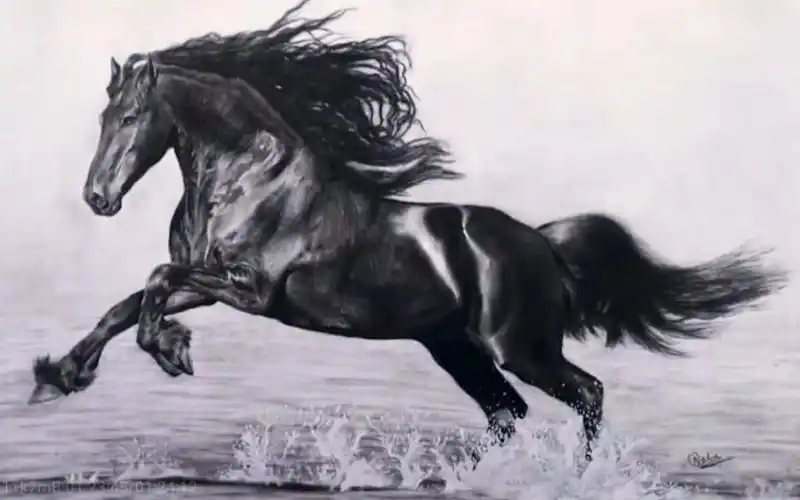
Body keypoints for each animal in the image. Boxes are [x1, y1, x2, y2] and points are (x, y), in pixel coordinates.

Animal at [29, 2, 787, 465]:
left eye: (130, 118)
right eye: (104, 118)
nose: (97, 198)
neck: (248, 178)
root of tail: (542, 242)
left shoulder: (249, 288)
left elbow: (153, 286)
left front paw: (171, 352)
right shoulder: (211, 285)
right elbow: (127, 304)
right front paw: (59, 376)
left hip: (520, 348)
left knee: (587, 393)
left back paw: (584, 473)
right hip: (455, 348)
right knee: (508, 413)